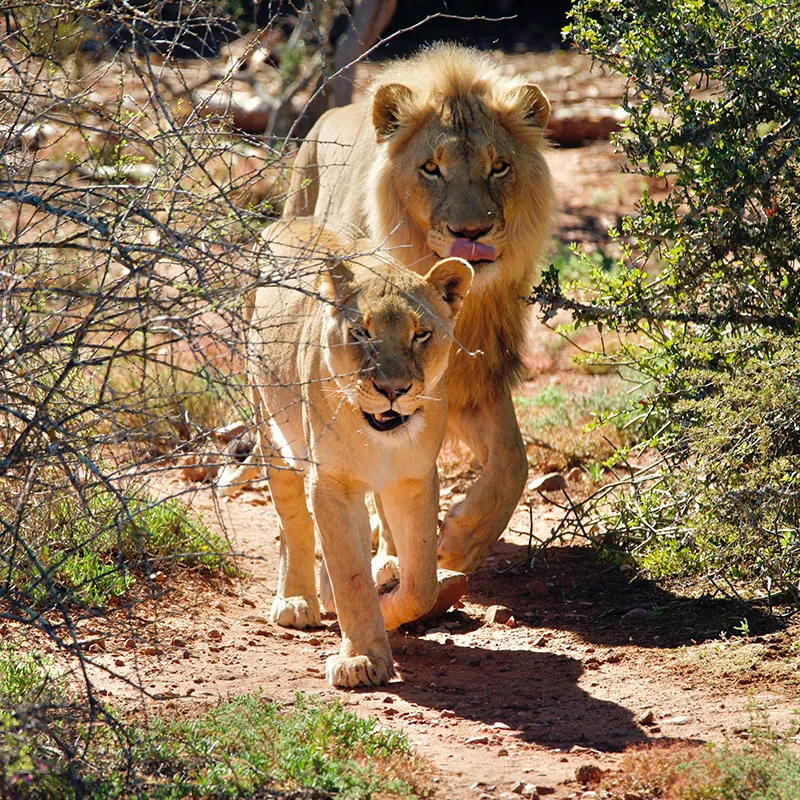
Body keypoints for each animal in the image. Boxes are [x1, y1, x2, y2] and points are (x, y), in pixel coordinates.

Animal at [246, 217, 472, 687]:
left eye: (421, 334)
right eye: (362, 334)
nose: (392, 390)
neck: (380, 440)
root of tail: (287, 220)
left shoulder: (414, 478)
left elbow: (422, 583)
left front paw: (388, 607)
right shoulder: (333, 483)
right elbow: (350, 575)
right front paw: (362, 658)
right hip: (270, 428)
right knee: (293, 521)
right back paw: (297, 599)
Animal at [283, 44, 556, 573]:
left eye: (499, 167)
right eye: (431, 168)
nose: (470, 233)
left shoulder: (475, 380)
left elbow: (513, 461)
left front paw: (462, 540)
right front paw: (395, 557)